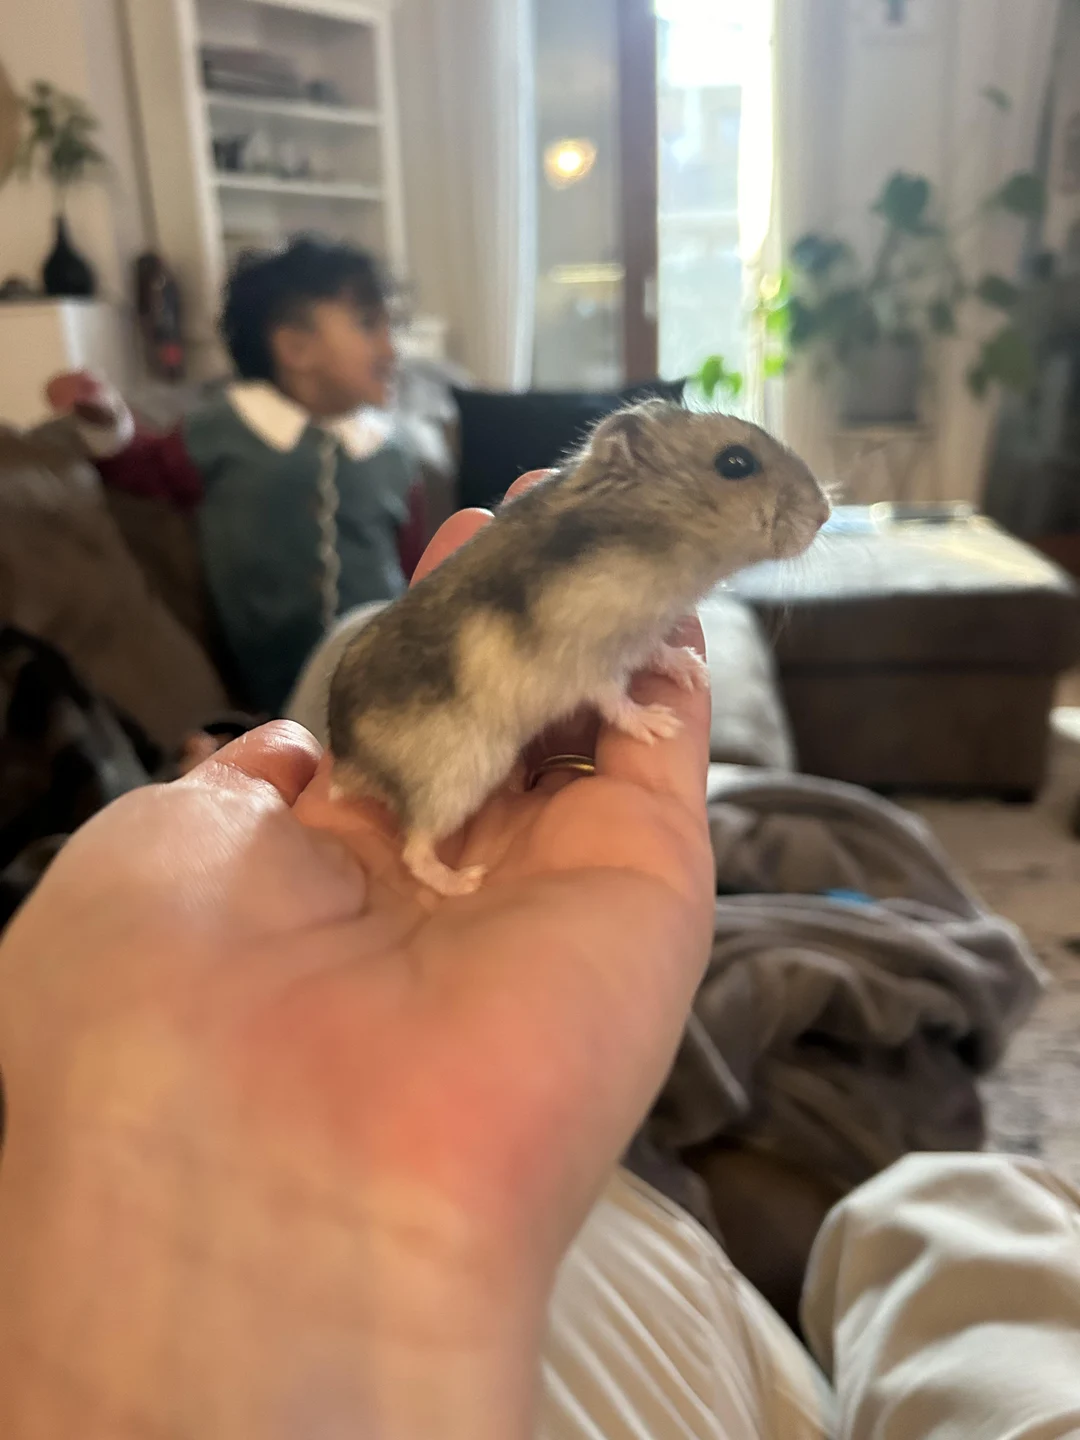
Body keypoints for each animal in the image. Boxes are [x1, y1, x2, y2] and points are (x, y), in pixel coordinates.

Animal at [328, 400, 829, 896]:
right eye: (736, 463)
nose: (826, 511)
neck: (656, 545)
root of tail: (347, 765)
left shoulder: (641, 635)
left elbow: (657, 652)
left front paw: (693, 671)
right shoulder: (585, 661)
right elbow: (612, 697)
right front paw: (658, 723)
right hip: (453, 779)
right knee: (414, 848)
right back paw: (464, 881)